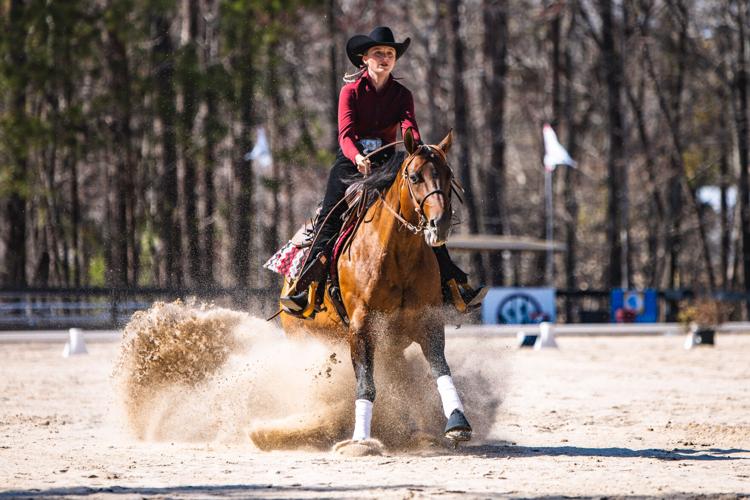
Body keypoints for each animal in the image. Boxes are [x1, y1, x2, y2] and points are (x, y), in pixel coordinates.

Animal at [275, 128, 472, 451]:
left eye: (448, 173)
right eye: (414, 176)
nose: (439, 224)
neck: (396, 254)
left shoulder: (427, 323)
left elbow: (440, 369)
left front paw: (458, 422)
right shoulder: (362, 328)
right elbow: (366, 383)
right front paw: (361, 439)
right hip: (304, 338)